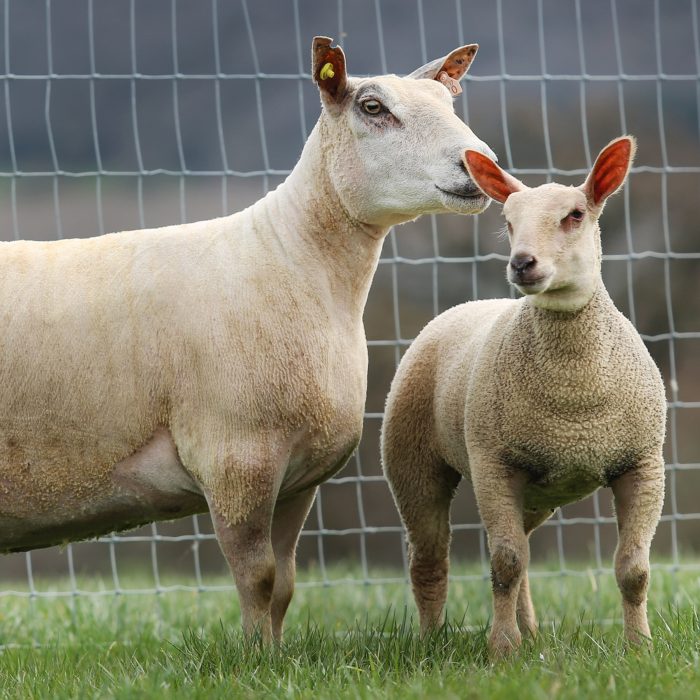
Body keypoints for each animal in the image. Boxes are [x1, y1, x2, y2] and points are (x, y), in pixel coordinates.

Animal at [0, 36, 494, 641]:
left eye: (449, 103)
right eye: (373, 107)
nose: (482, 164)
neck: (290, 258)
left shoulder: (298, 476)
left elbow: (285, 585)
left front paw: (276, 653)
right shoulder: (236, 458)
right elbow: (257, 578)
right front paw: (254, 654)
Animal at [381, 136, 667, 656]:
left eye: (575, 214)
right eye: (508, 221)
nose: (521, 263)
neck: (575, 398)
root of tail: (466, 306)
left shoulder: (642, 463)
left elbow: (633, 570)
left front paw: (640, 646)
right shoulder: (495, 463)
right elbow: (504, 562)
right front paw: (503, 650)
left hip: (539, 486)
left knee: (527, 549)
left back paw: (531, 630)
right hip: (414, 458)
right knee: (430, 558)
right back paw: (433, 642)